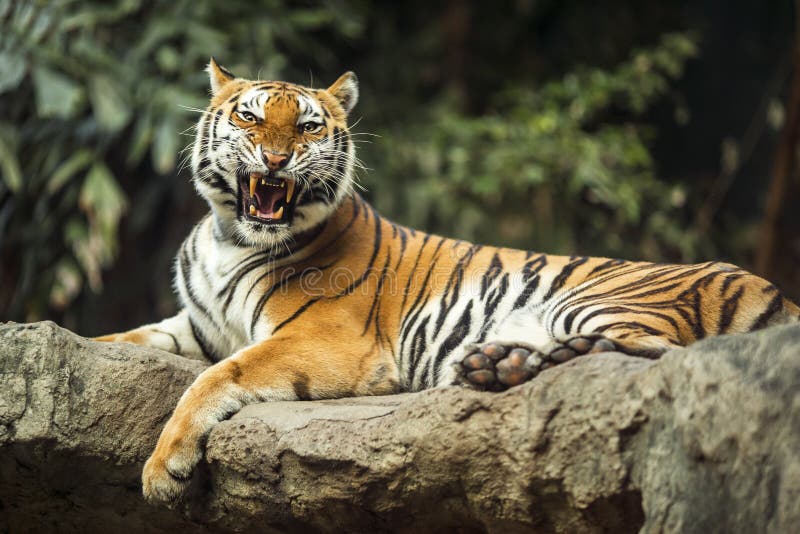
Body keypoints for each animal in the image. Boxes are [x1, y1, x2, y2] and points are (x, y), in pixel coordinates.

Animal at [95, 58, 800, 506]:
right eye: (248, 118)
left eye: (308, 127)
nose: (275, 158)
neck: (232, 238)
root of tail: (762, 283)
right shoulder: (196, 325)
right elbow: (121, 338)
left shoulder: (324, 341)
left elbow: (221, 376)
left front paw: (163, 470)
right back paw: (493, 367)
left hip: (598, 301)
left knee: (650, 354)